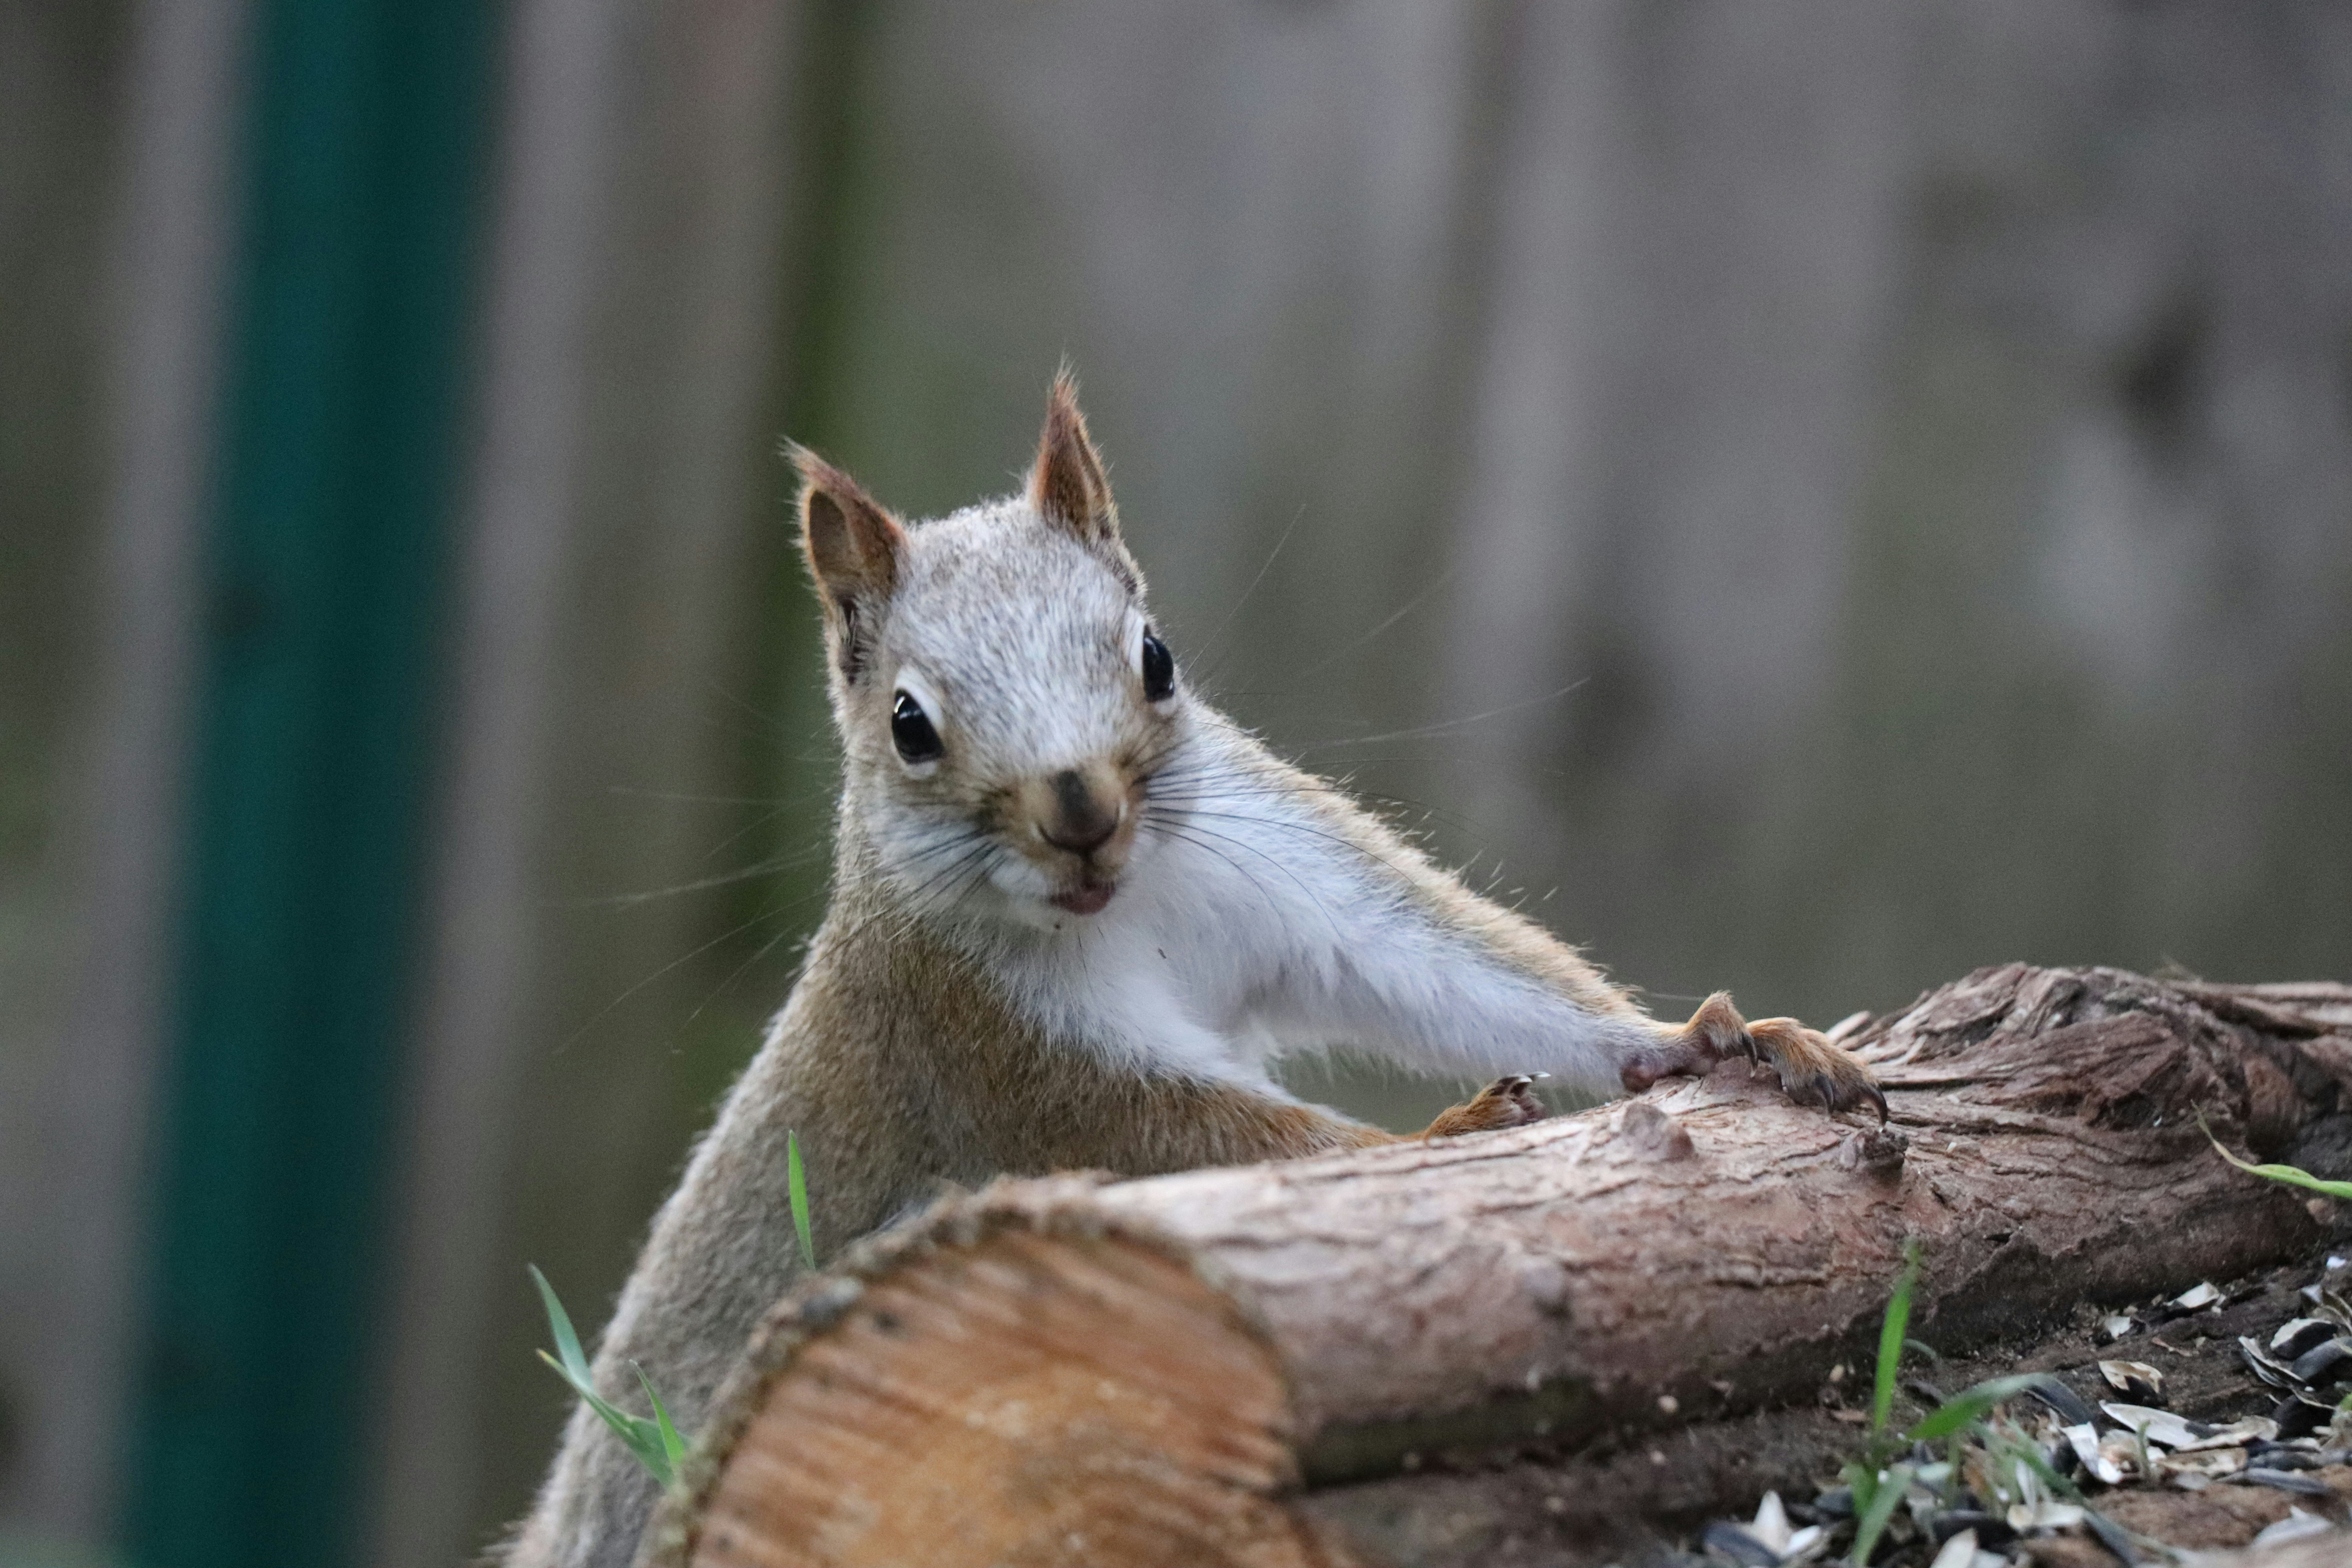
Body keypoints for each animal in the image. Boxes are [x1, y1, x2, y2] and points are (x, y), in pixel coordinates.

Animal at [501, 372, 1881, 1567]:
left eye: (1154, 656)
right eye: (907, 725)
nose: (1080, 813)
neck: (1123, 907)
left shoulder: (1290, 879)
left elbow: (1441, 968)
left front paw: (1706, 1040)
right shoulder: (995, 1041)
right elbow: (1199, 1137)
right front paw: (1440, 1135)